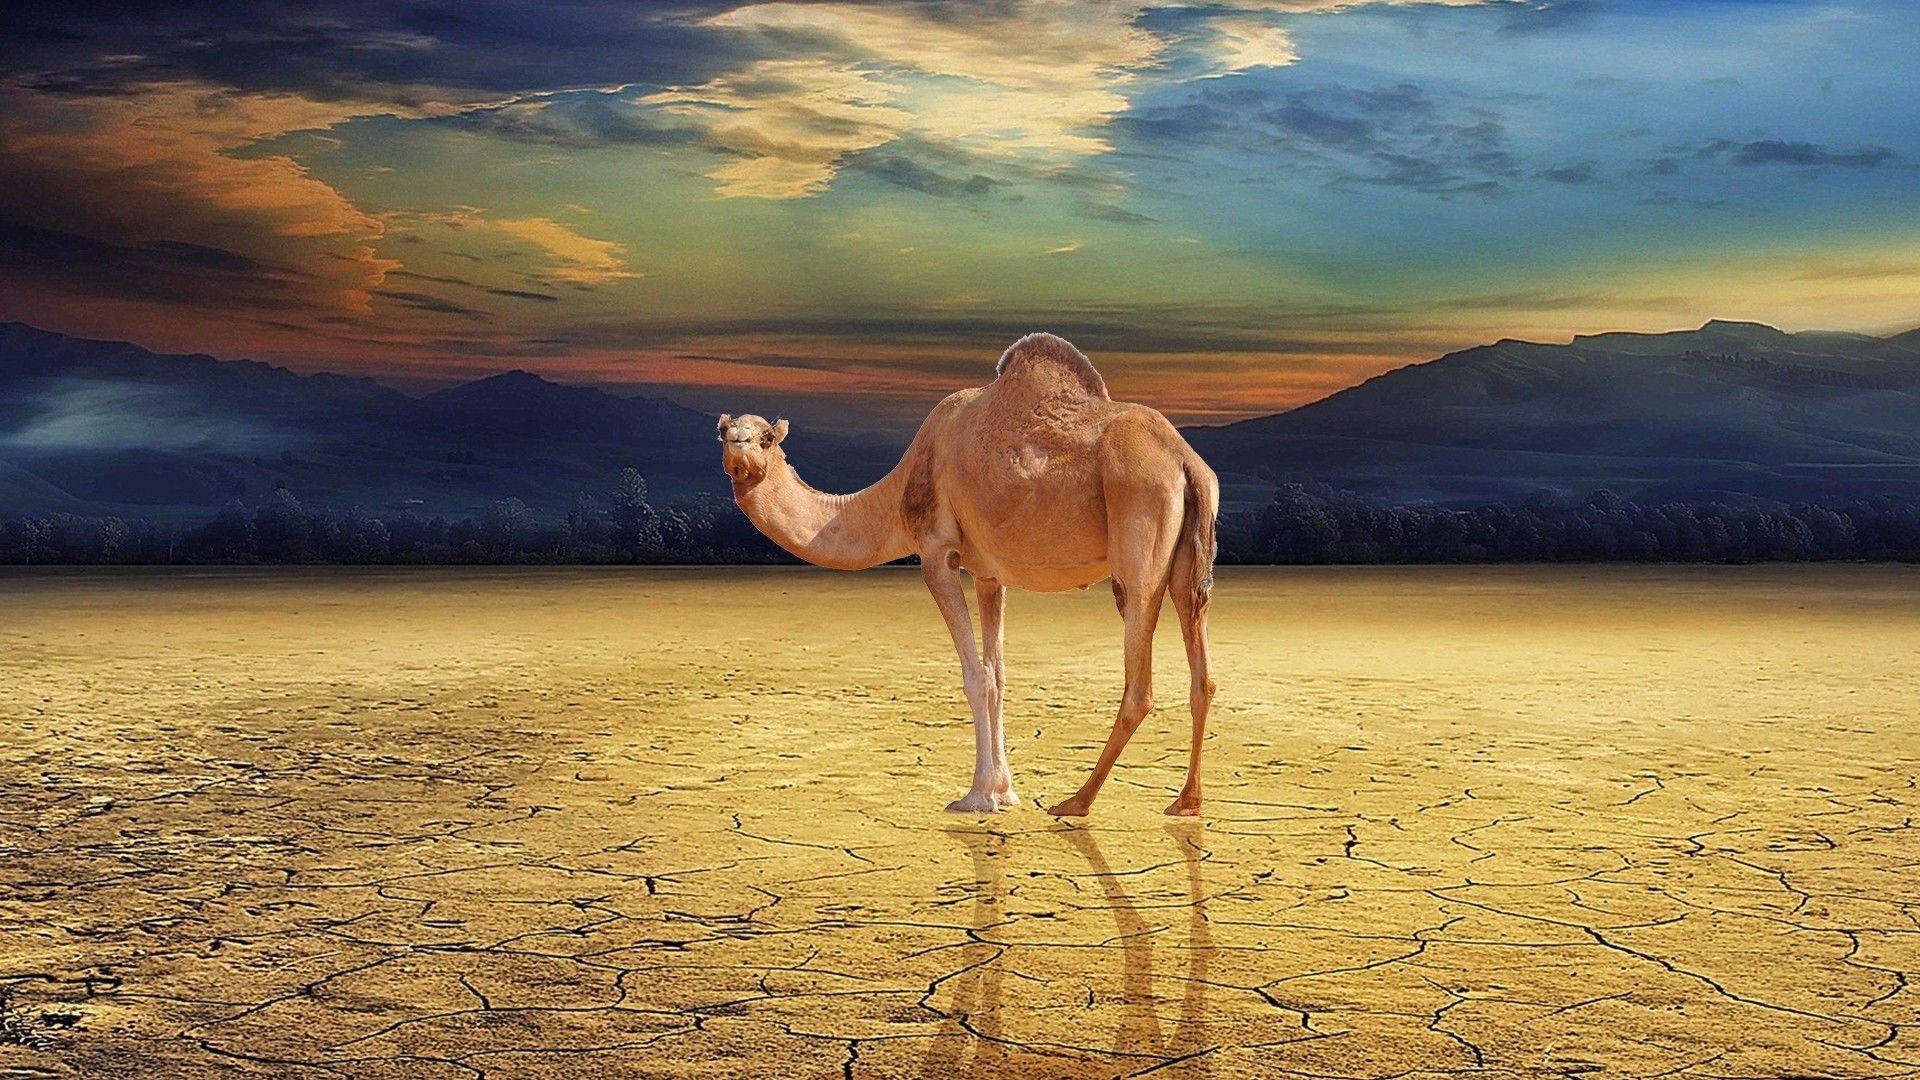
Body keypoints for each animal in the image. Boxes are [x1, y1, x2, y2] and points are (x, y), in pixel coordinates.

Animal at [718, 332, 1218, 817]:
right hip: (1187, 558)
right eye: (723, 431)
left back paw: (1076, 801)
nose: (738, 447)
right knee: (1201, 669)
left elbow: (976, 677)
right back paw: (1186, 802)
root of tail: (1186, 461)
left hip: (1139, 524)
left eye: (767, 437)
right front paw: (1005, 792)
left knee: (1139, 680)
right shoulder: (988, 575)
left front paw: (977, 797)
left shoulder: (937, 552)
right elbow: (998, 674)